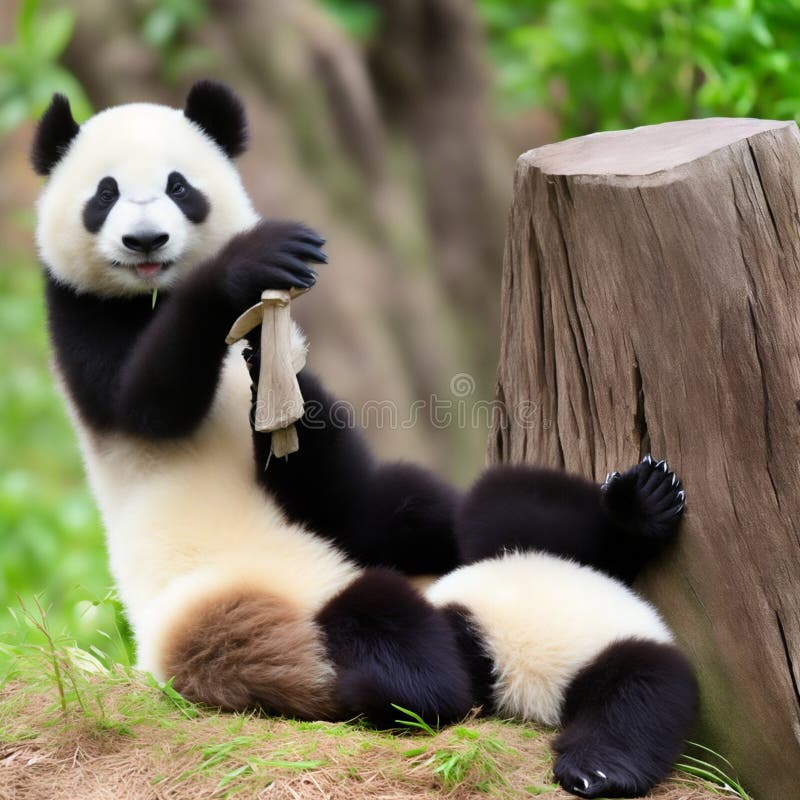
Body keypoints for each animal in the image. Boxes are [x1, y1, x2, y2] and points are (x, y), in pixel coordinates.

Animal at [32, 80, 695, 799]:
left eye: (179, 187)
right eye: (104, 194)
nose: (144, 240)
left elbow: (318, 452)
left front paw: (273, 356)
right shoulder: (81, 319)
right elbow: (145, 404)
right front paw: (247, 268)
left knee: (469, 513)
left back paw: (637, 510)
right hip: (244, 605)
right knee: (384, 621)